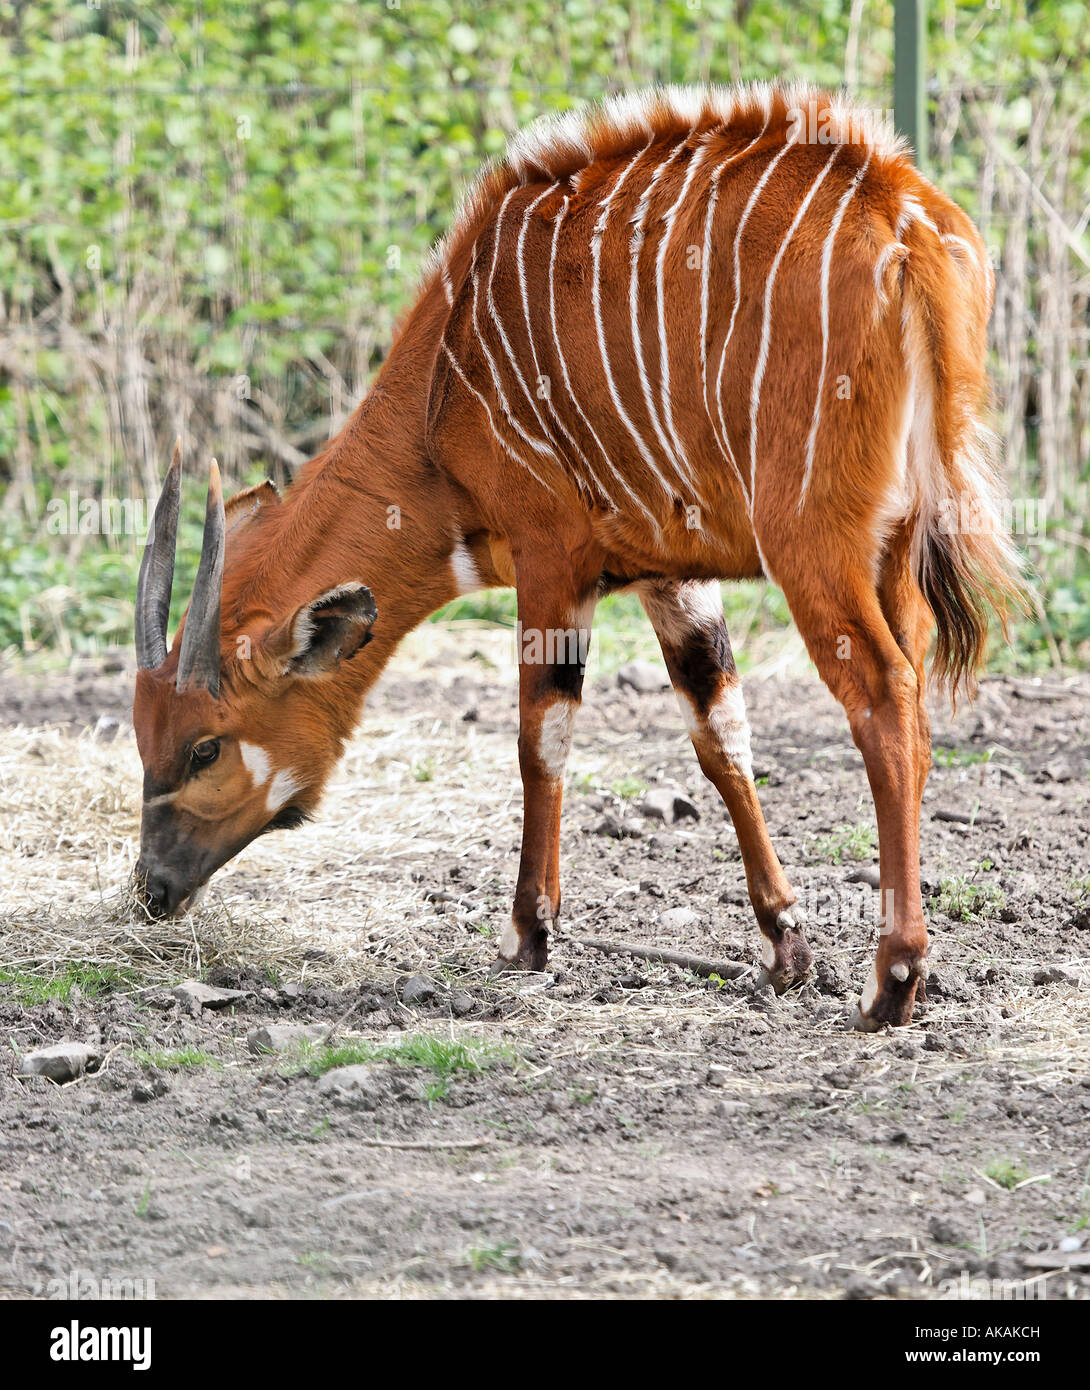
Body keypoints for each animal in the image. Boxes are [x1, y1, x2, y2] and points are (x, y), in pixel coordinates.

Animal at [133, 84, 1022, 1030]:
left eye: (203, 748)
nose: (151, 889)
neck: (446, 376)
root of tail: (904, 214)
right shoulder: (672, 575)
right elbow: (720, 737)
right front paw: (784, 948)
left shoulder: (551, 557)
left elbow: (540, 738)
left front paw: (529, 936)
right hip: (898, 552)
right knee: (916, 701)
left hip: (815, 547)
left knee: (885, 702)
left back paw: (894, 980)